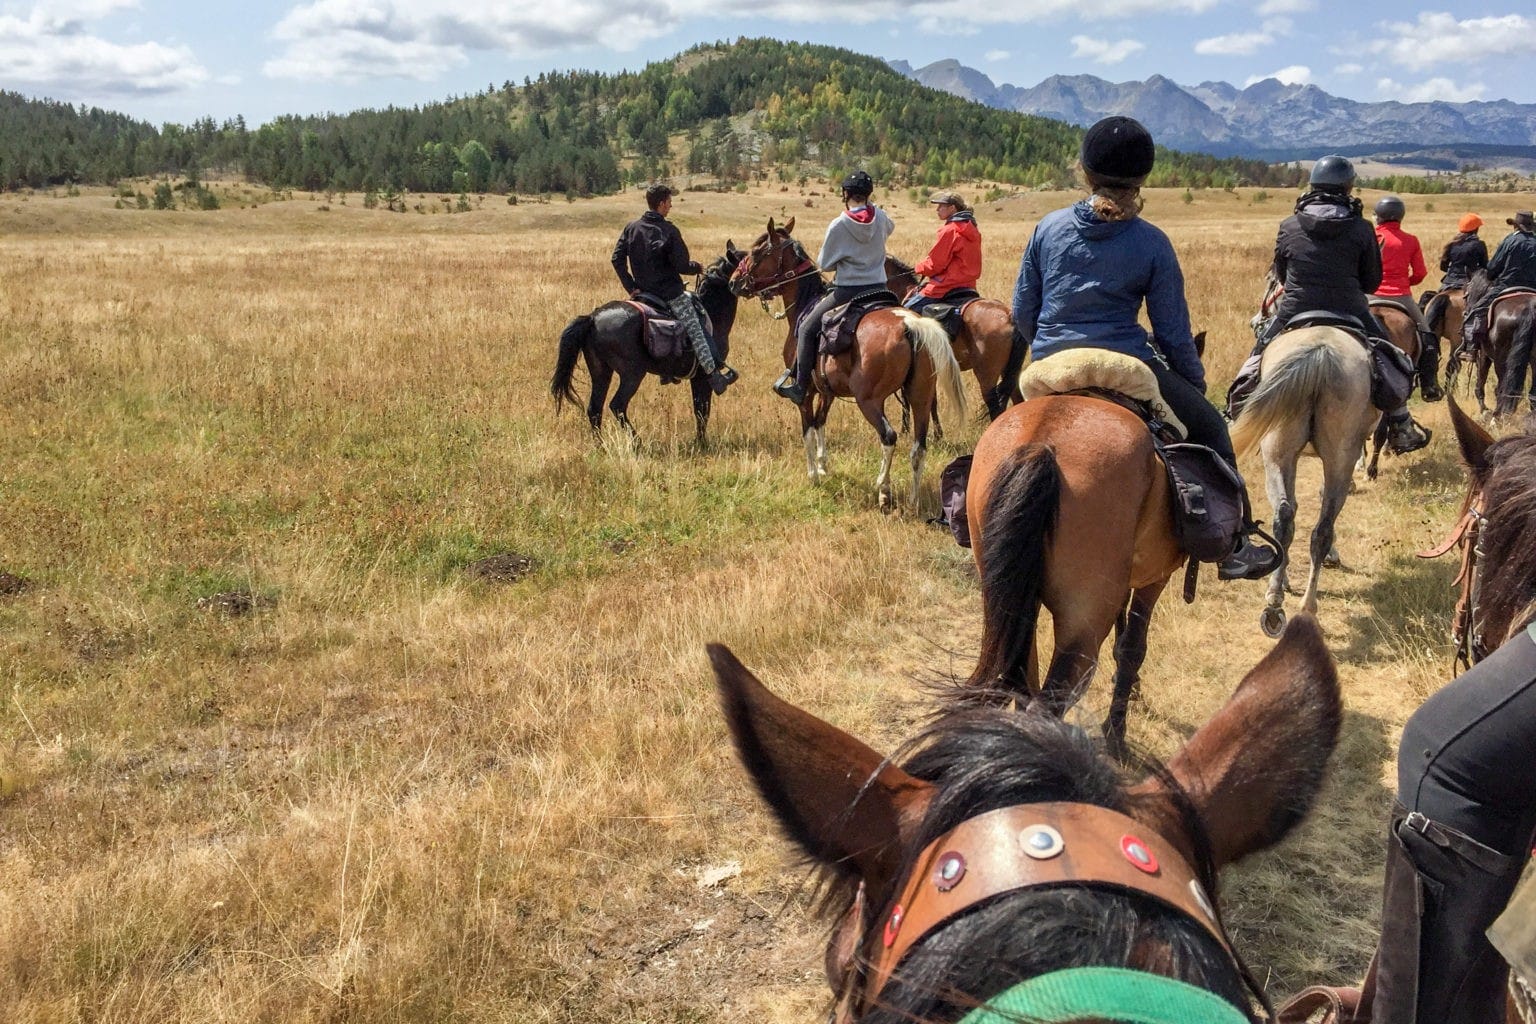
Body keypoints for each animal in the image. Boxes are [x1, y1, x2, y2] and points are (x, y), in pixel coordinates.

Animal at [551, 244, 744, 445]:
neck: (712, 311)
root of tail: (593, 318)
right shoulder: (703, 376)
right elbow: (702, 410)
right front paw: (701, 443)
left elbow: (700, 408)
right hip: (632, 374)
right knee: (617, 405)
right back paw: (637, 443)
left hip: (601, 372)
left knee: (595, 409)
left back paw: (601, 446)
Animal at [729, 218, 966, 511]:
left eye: (756, 252)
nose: (734, 282)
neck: (804, 305)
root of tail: (910, 325)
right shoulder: (827, 390)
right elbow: (821, 421)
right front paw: (823, 465)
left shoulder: (806, 390)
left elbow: (807, 428)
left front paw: (812, 473)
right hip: (920, 397)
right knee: (918, 447)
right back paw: (913, 499)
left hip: (870, 401)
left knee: (889, 437)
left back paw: (883, 489)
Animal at [963, 384, 1187, 752]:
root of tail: (1041, 444)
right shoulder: (1155, 578)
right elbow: (1132, 648)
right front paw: (1116, 734)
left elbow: (1123, 642)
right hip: (1083, 625)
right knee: (1049, 700)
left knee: (1022, 685)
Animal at [1230, 327, 1379, 638]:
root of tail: (1320, 353)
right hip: (1338, 460)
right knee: (1322, 528)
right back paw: (1307, 608)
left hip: (1278, 451)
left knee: (1285, 517)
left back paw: (1275, 604)